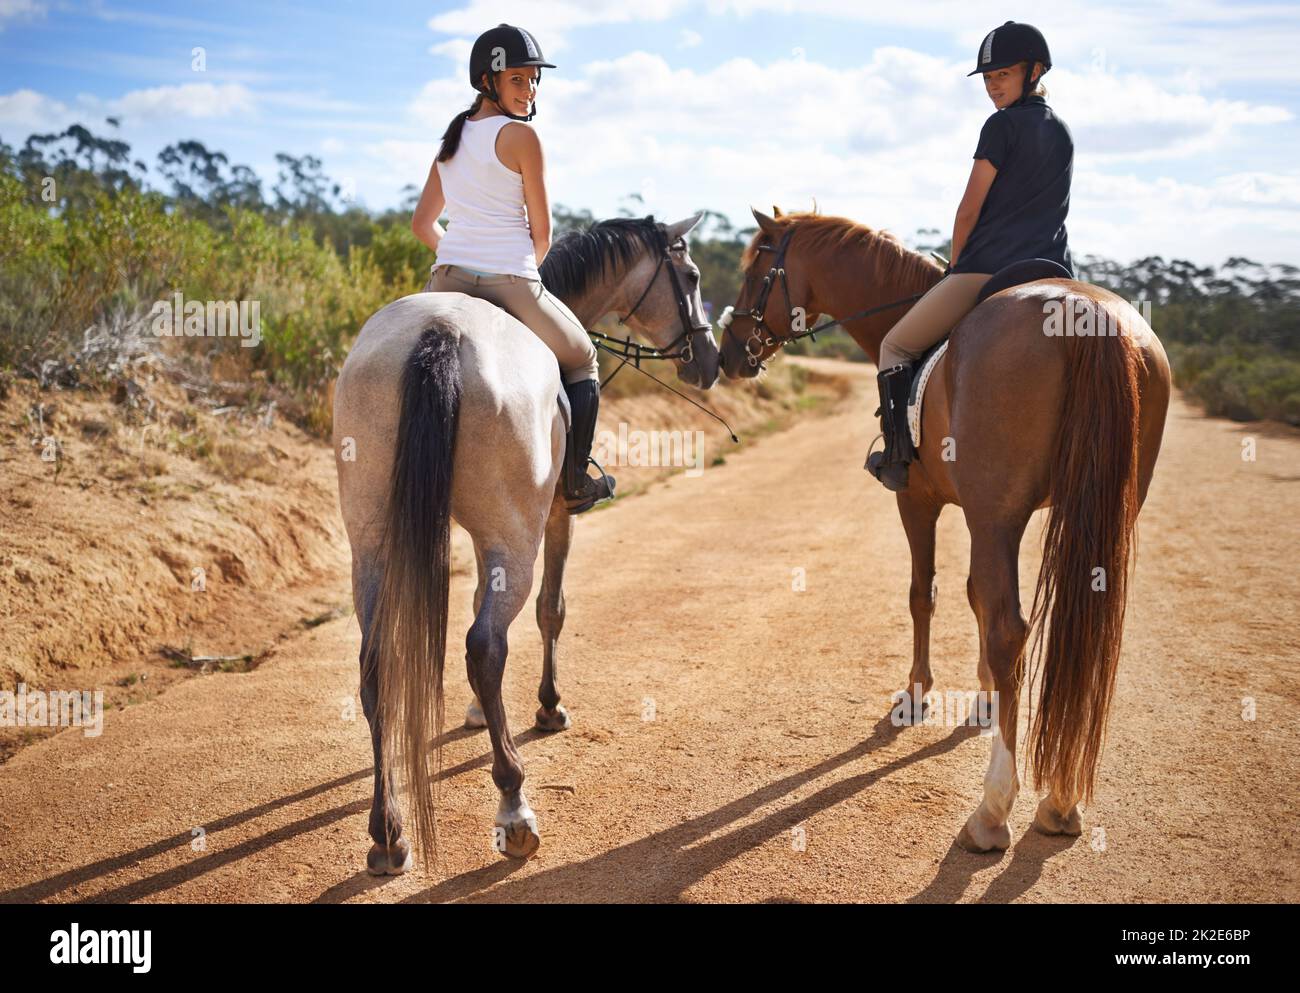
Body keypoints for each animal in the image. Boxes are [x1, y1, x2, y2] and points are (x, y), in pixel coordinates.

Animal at [334, 213, 718, 873]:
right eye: (690, 276)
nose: (710, 360)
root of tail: (439, 333)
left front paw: (472, 713)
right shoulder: (556, 517)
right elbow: (551, 611)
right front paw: (547, 705)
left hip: (372, 543)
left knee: (376, 661)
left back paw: (388, 832)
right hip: (517, 537)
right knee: (486, 646)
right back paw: (514, 807)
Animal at [719, 207, 1170, 853]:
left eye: (756, 270)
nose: (730, 353)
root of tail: (1085, 316)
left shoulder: (922, 500)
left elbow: (924, 594)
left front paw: (916, 694)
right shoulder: (986, 514)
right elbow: (974, 596)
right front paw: (983, 697)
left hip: (995, 514)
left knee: (1011, 629)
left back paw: (994, 808)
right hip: (1098, 510)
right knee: (1080, 625)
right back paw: (1060, 799)